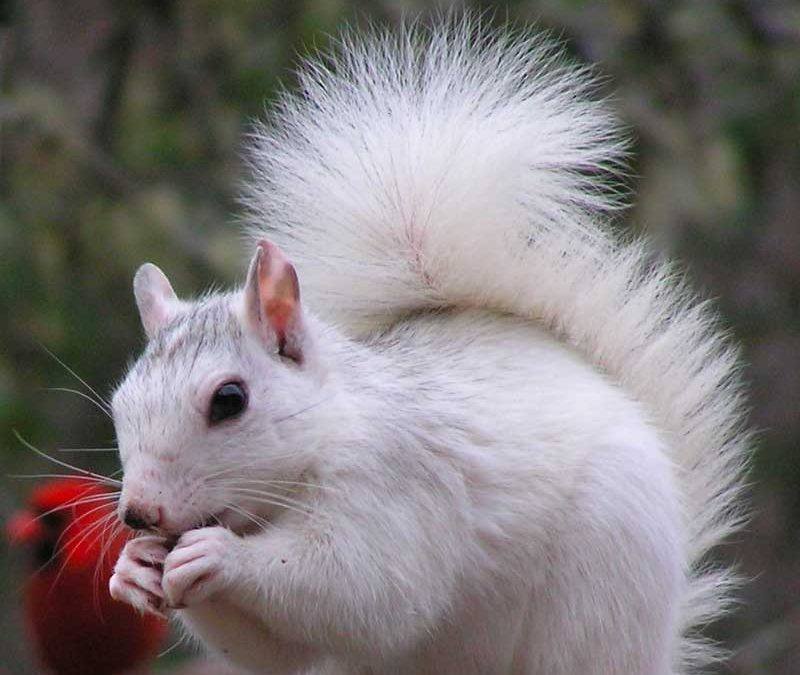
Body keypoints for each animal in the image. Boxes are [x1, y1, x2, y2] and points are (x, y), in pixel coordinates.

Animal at [107, 16, 749, 675]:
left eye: (230, 400)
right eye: (120, 404)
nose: (139, 513)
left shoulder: (400, 490)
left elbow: (361, 589)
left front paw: (221, 556)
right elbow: (271, 649)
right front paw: (132, 569)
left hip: (597, 602)